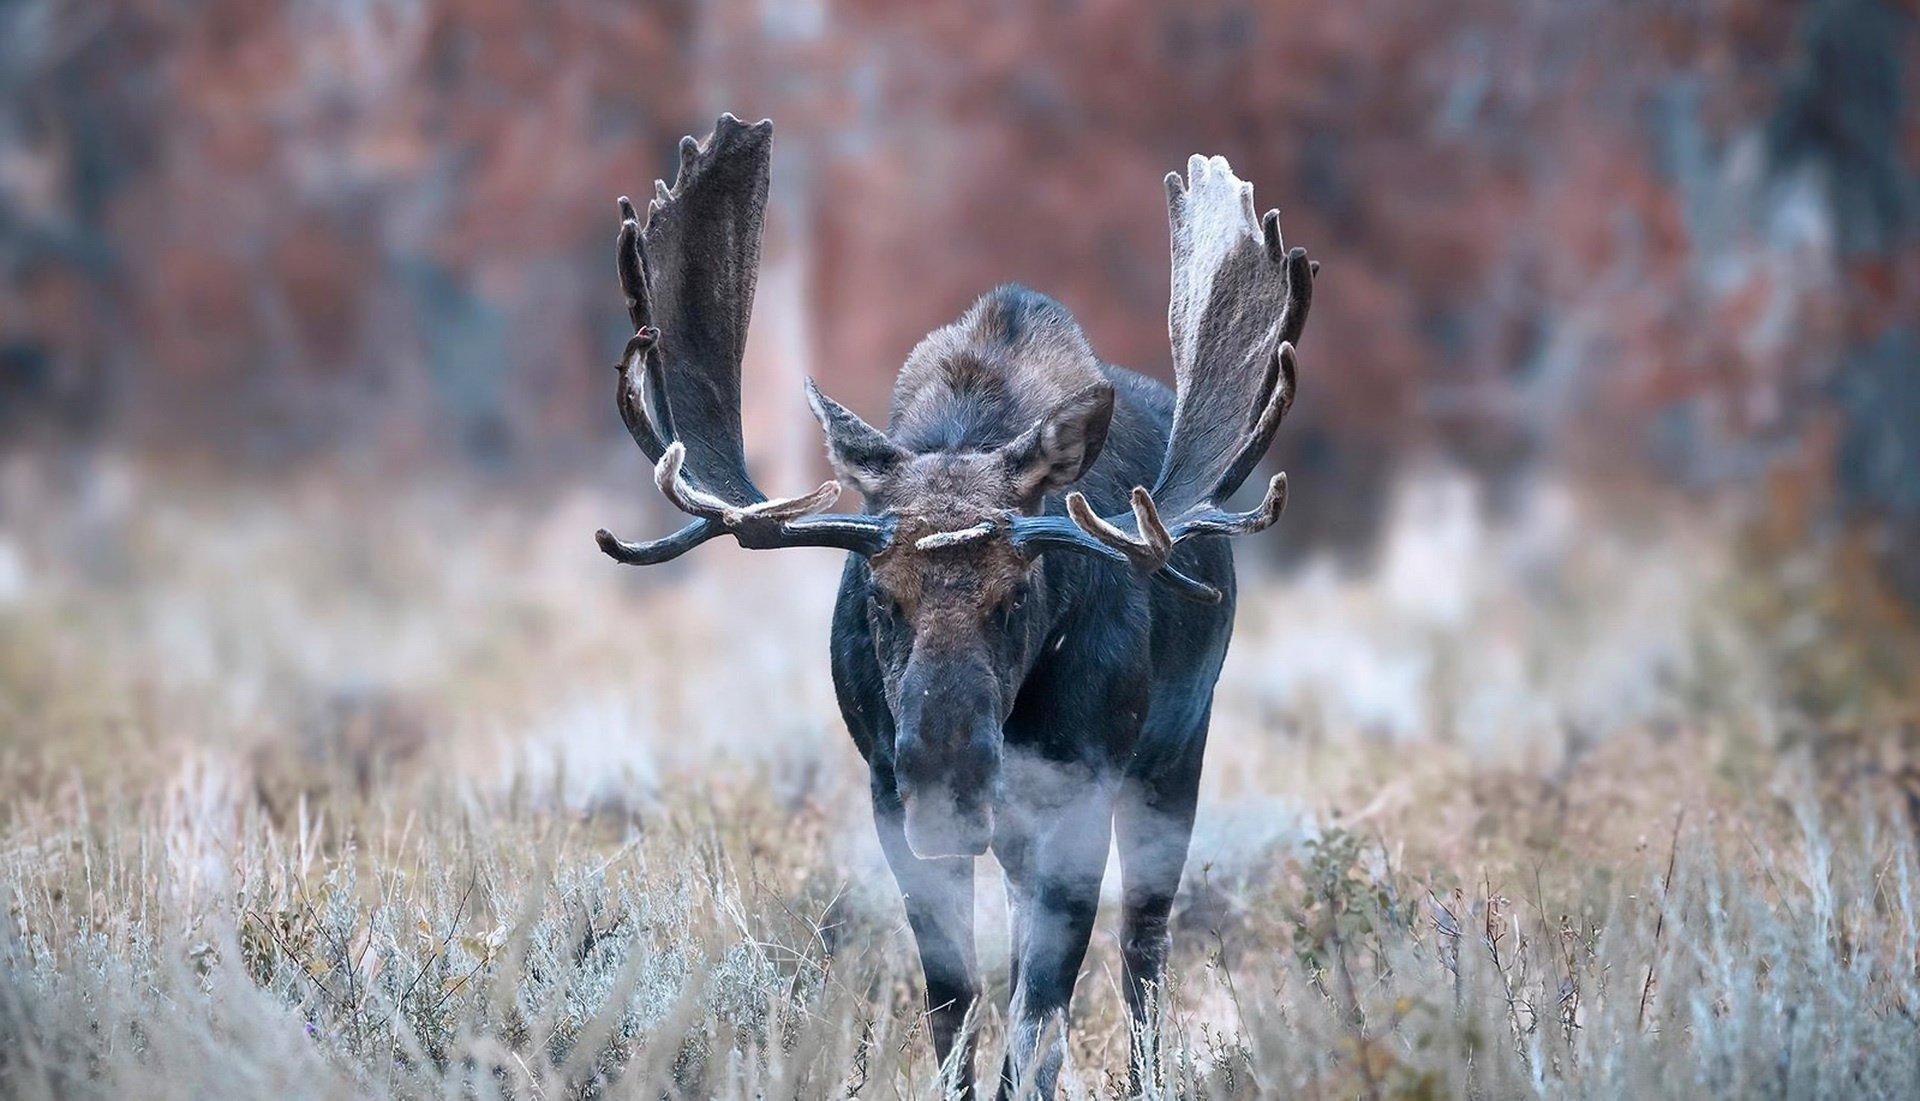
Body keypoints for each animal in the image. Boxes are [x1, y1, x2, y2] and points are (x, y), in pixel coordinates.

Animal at [595, 115, 1313, 1097]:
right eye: (877, 597)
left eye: (1019, 595)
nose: (946, 770)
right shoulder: (886, 794)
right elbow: (954, 1004)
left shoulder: (1081, 790)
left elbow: (1040, 1015)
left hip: (1175, 756)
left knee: (1143, 948)